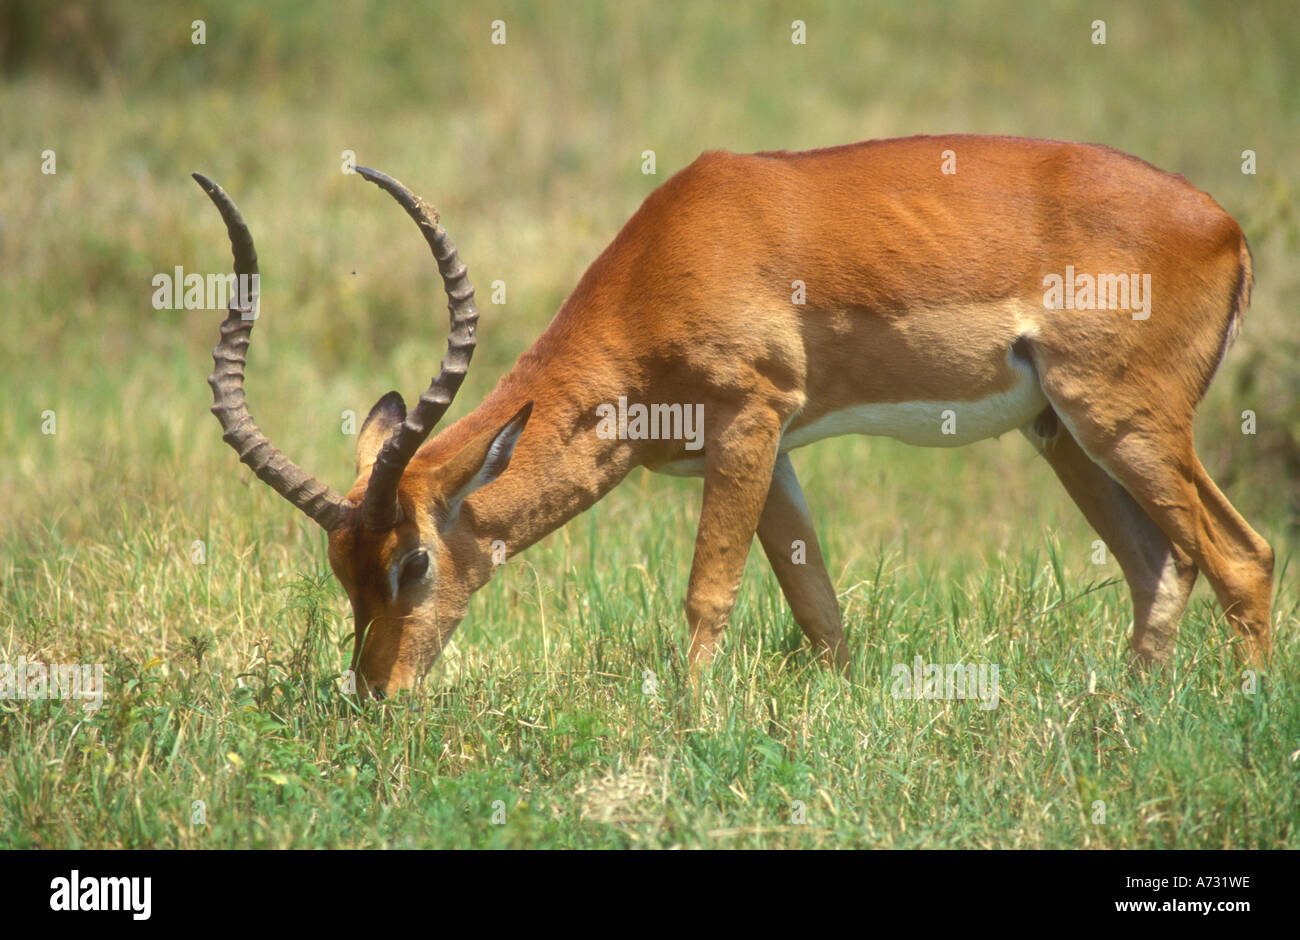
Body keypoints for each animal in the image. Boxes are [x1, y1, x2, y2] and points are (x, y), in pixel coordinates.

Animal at [194, 134, 1273, 699]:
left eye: (411, 561)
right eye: (340, 570)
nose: (376, 692)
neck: (663, 265)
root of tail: (1225, 227)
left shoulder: (750, 420)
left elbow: (708, 592)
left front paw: (692, 722)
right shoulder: (776, 451)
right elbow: (818, 605)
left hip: (1124, 421)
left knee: (1243, 555)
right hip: (1065, 434)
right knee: (1158, 564)